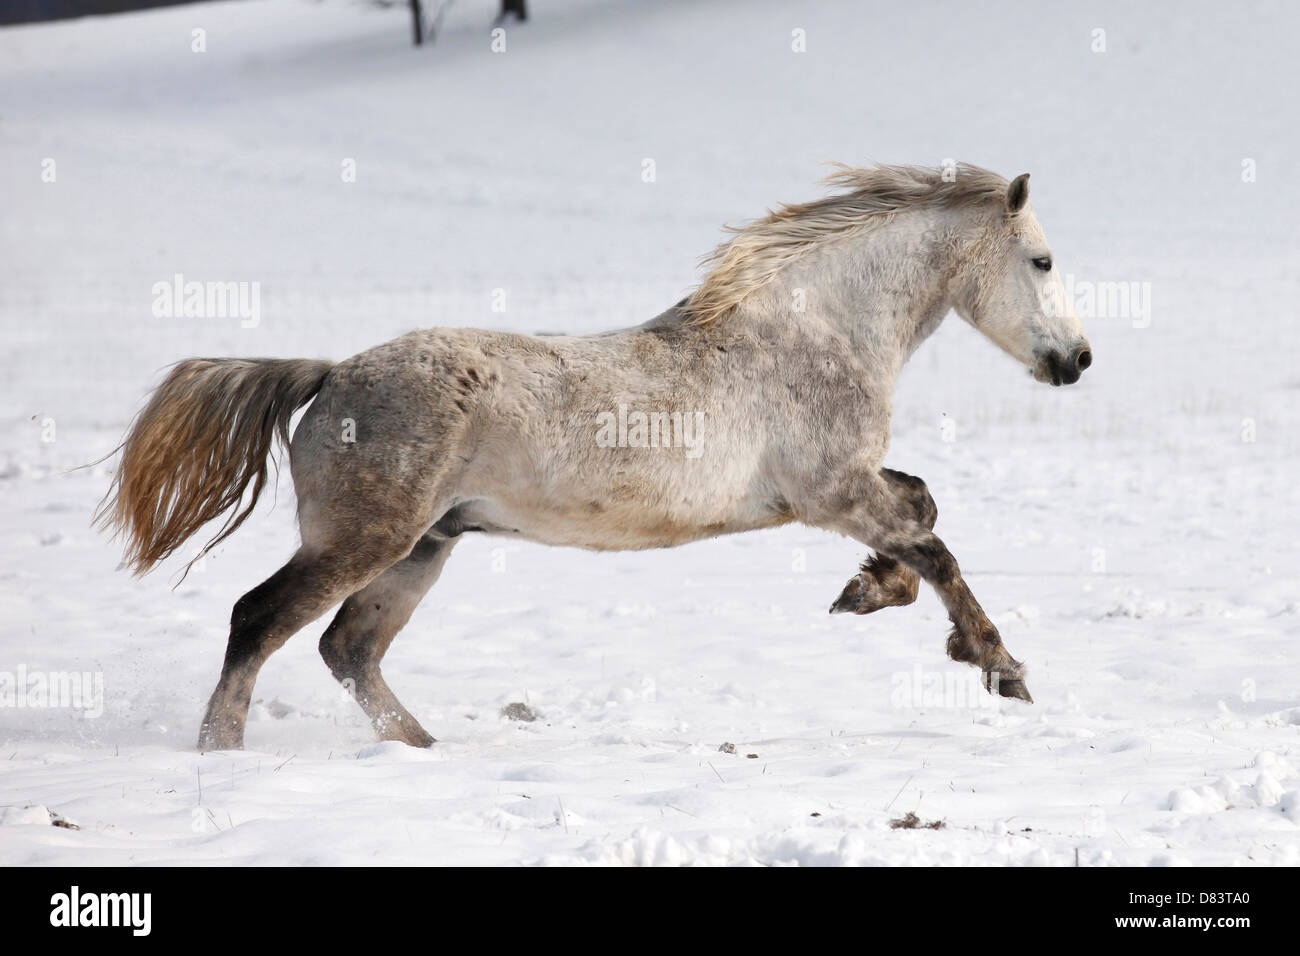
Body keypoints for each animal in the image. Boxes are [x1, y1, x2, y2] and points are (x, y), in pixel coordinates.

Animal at [97, 163, 1092, 751]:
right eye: (1042, 261)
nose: (1077, 360)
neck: (813, 332)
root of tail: (332, 374)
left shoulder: (842, 490)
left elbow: (922, 507)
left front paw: (866, 591)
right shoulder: (830, 492)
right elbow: (936, 545)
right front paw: (999, 667)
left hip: (426, 545)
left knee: (348, 647)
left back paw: (421, 750)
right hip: (364, 541)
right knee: (259, 619)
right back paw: (223, 754)